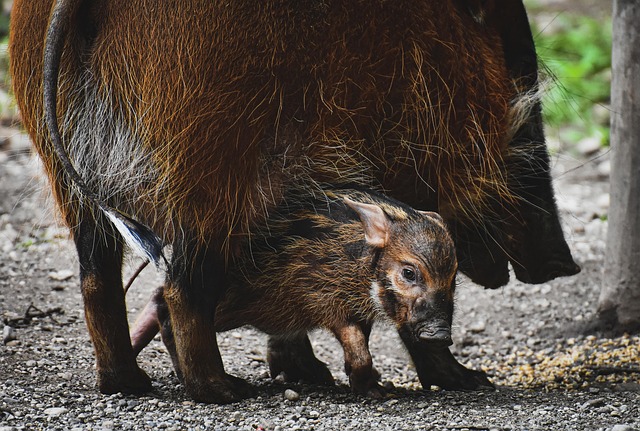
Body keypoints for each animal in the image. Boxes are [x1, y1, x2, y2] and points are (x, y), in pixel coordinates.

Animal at [130, 188, 491, 396]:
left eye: (454, 277)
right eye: (409, 272)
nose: (440, 334)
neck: (360, 266)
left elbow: (361, 345)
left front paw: (369, 385)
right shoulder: (324, 300)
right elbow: (358, 347)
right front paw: (374, 391)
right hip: (226, 304)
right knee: (166, 308)